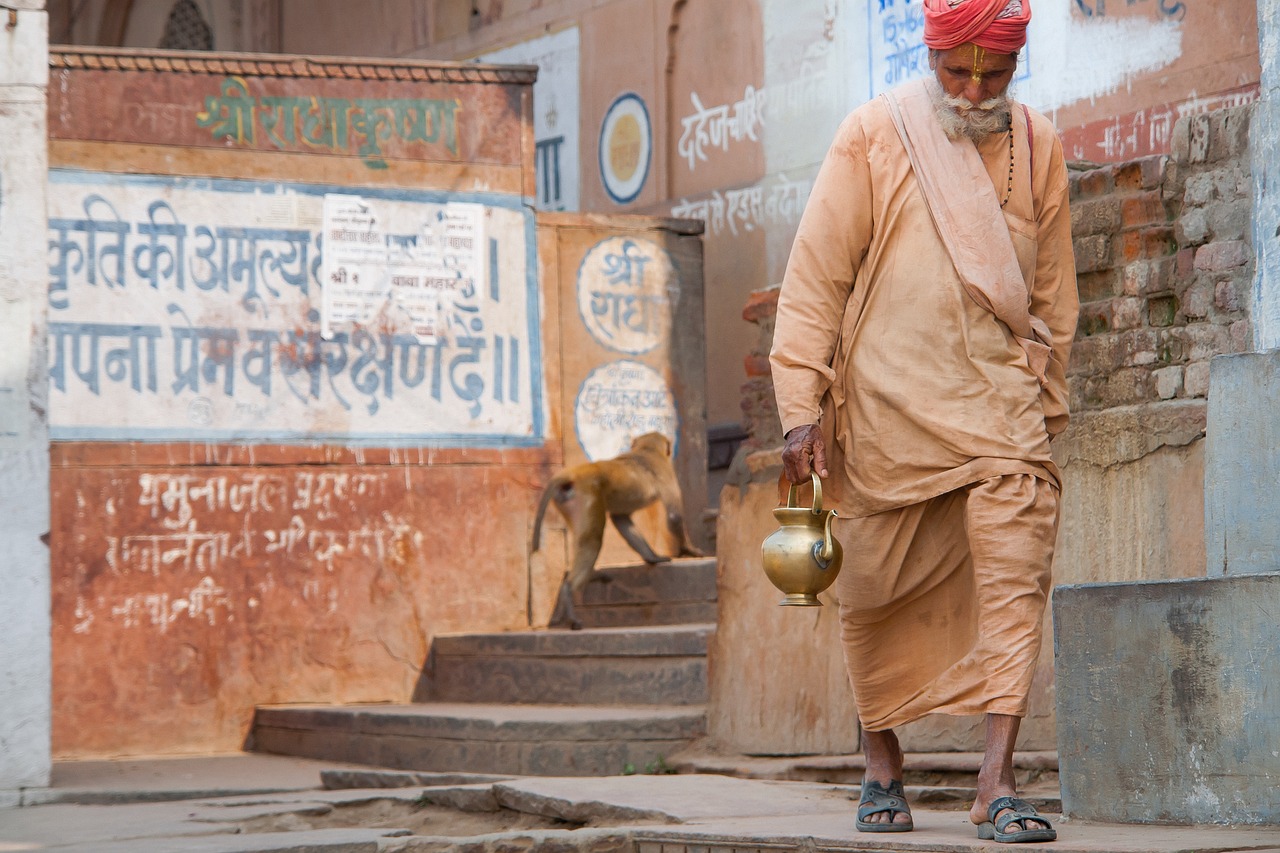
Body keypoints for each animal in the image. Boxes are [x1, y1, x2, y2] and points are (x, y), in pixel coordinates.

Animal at [535, 432, 706, 625]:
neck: (647, 450)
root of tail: (574, 473)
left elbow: (620, 518)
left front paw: (652, 557)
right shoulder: (666, 471)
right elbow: (674, 517)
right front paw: (689, 550)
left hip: (566, 501)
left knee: (584, 539)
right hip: (587, 494)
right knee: (592, 540)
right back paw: (569, 590)